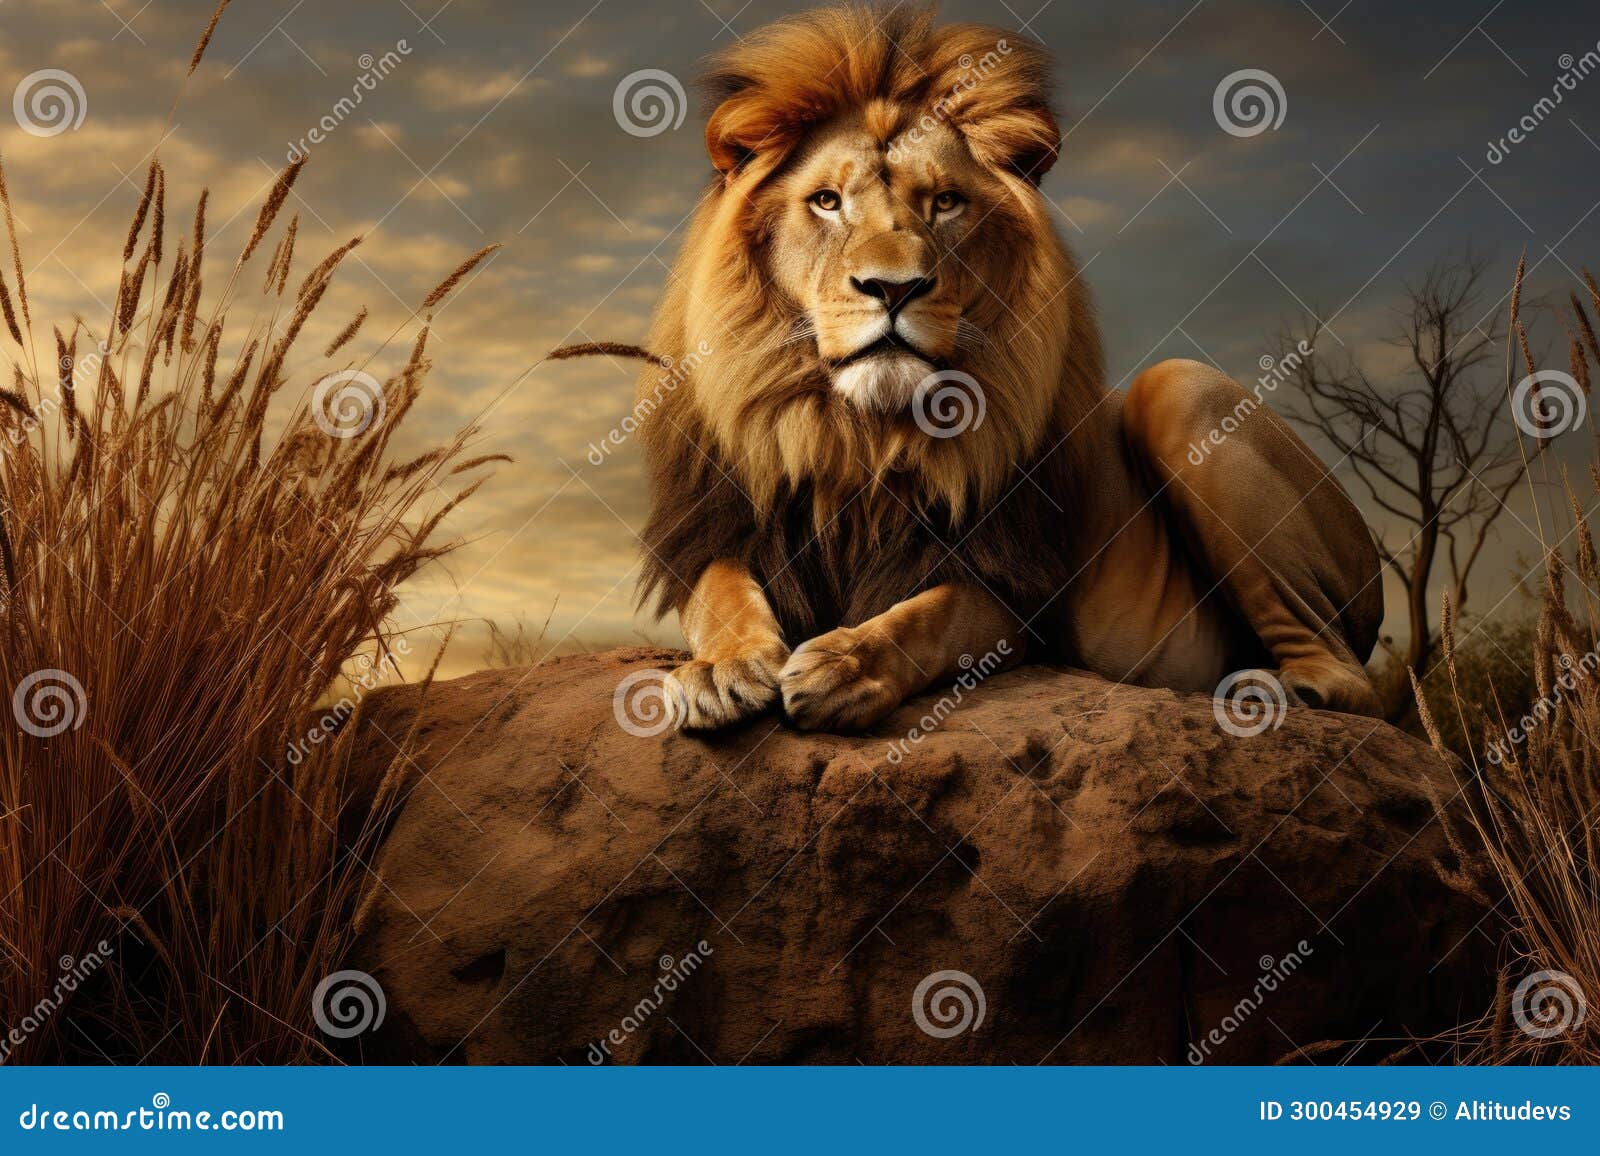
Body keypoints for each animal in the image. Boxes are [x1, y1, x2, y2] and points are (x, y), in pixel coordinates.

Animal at [625, 5, 1383, 733]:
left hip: (1180, 386)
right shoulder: (715, 530)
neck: (858, 437)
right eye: (827, 201)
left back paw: (1275, 691)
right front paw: (722, 670)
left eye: (944, 202)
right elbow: (723, 594)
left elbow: (925, 619)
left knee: (1353, 680)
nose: (894, 288)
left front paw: (843, 666)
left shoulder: (1009, 587)